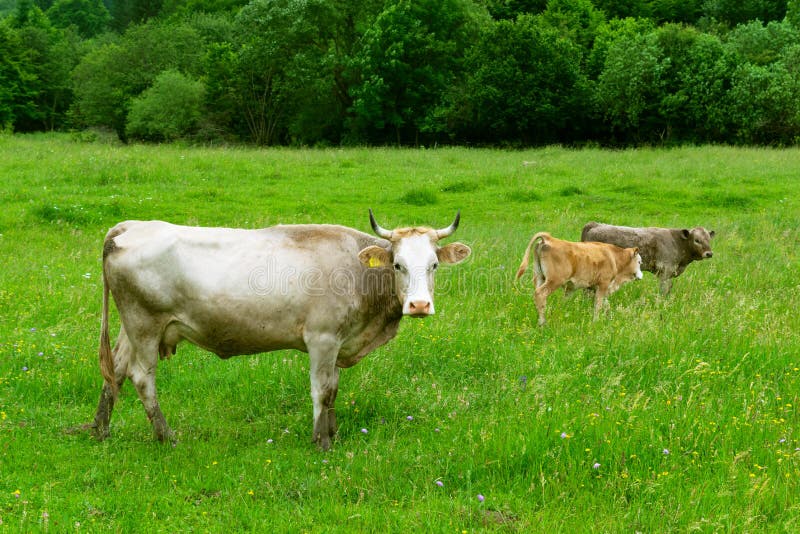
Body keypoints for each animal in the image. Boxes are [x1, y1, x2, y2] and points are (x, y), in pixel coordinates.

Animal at [89, 210, 471, 450]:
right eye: (397, 265)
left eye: (434, 265)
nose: (419, 305)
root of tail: (130, 226)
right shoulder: (322, 339)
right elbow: (322, 391)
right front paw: (322, 442)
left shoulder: (337, 342)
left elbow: (334, 388)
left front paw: (333, 432)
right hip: (144, 324)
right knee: (142, 378)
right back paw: (166, 437)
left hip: (132, 327)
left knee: (116, 370)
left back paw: (100, 430)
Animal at [581, 222, 715, 295]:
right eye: (697, 240)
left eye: (709, 239)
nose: (709, 253)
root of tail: (595, 224)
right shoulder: (665, 270)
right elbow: (664, 289)